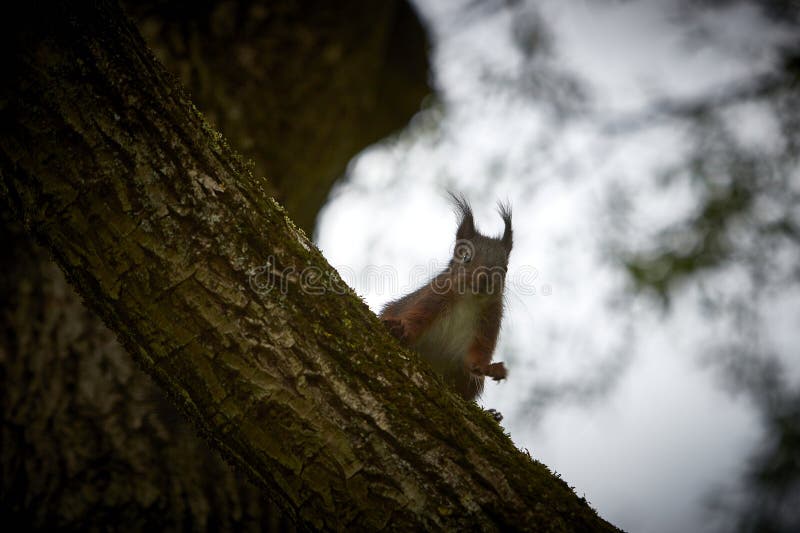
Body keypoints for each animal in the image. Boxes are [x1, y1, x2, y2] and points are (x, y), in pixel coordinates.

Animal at [380, 193, 512, 402]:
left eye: (506, 268)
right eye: (465, 257)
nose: (485, 280)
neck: (469, 301)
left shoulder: (489, 322)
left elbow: (477, 357)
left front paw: (489, 368)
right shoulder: (431, 300)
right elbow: (414, 321)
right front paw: (401, 329)